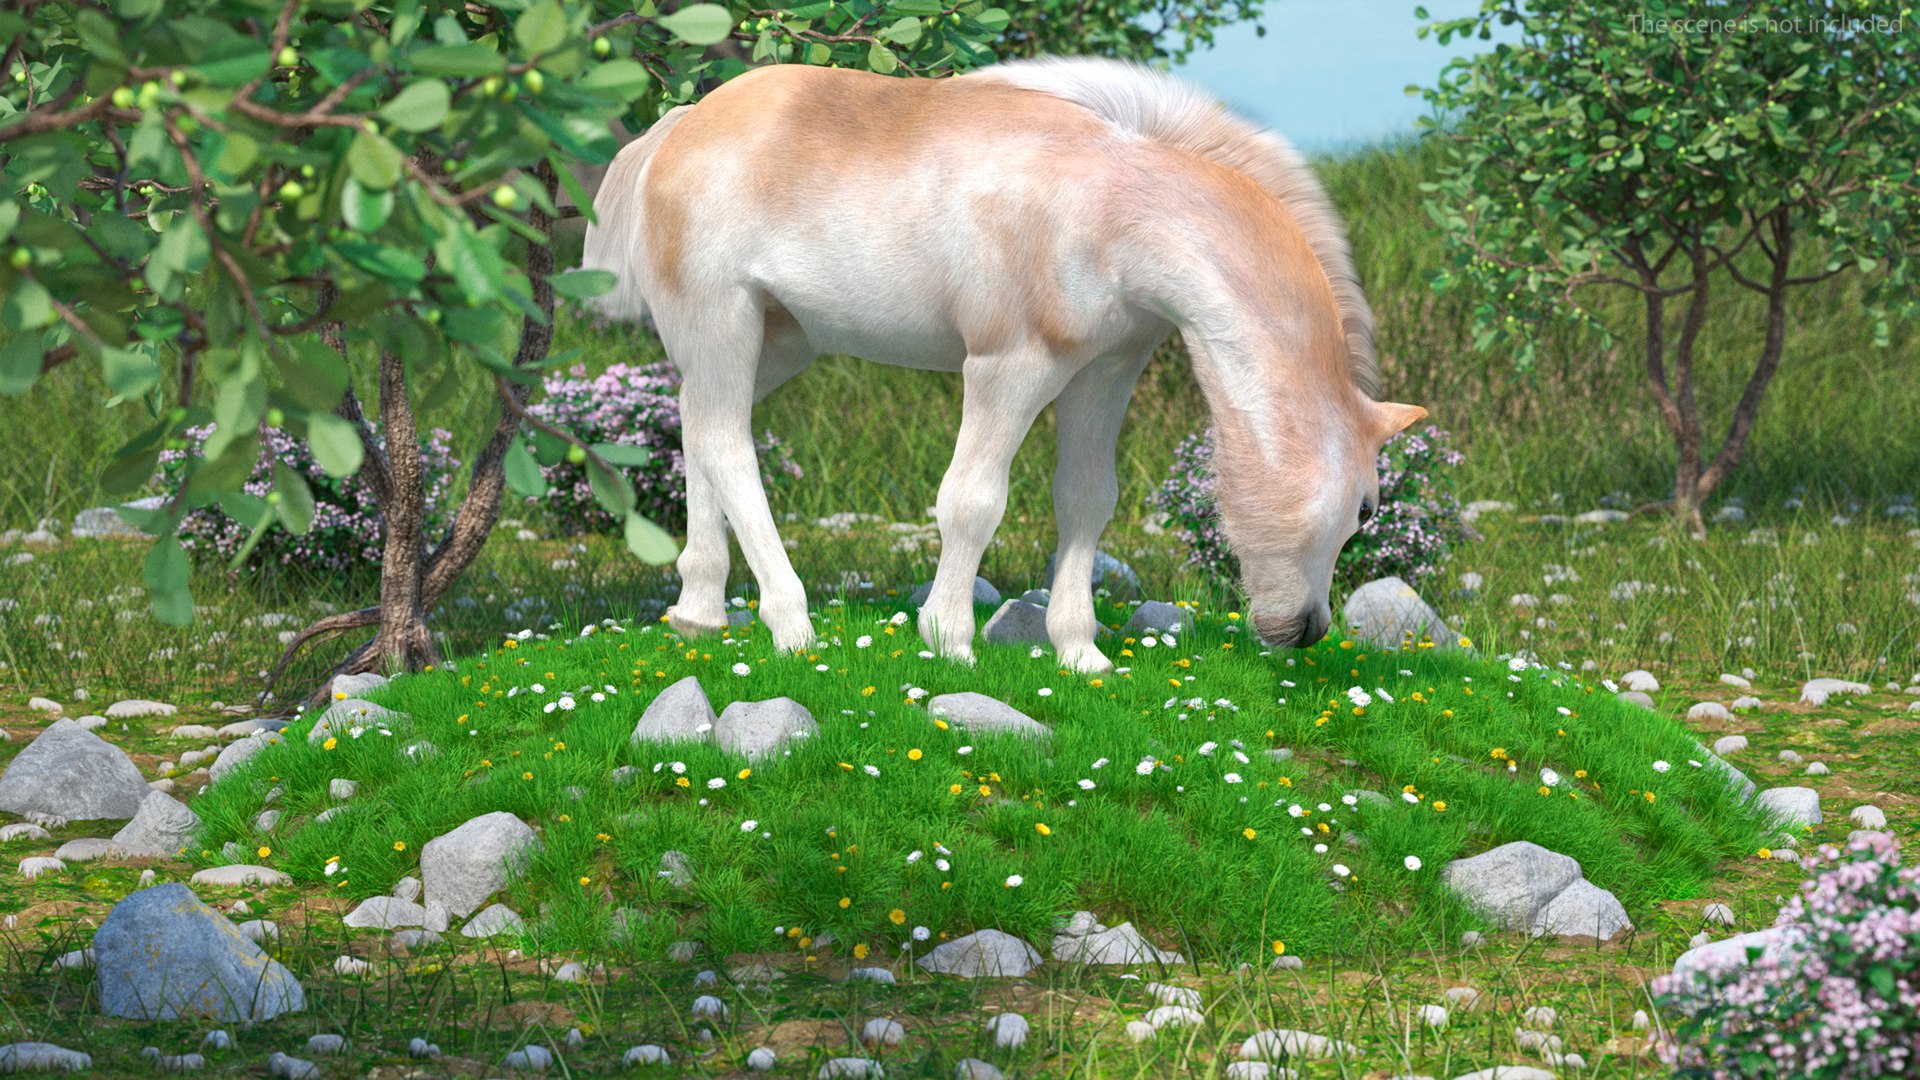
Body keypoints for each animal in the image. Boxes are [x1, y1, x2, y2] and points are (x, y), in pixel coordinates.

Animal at [582, 56, 1426, 673]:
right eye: (1366, 508)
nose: (1307, 630)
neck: (1113, 211)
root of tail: (678, 127)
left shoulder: (1104, 370)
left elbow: (1087, 499)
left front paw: (1080, 654)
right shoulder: (1007, 368)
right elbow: (973, 500)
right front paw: (949, 641)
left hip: (777, 341)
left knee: (695, 427)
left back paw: (699, 611)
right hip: (722, 322)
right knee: (726, 443)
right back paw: (791, 626)